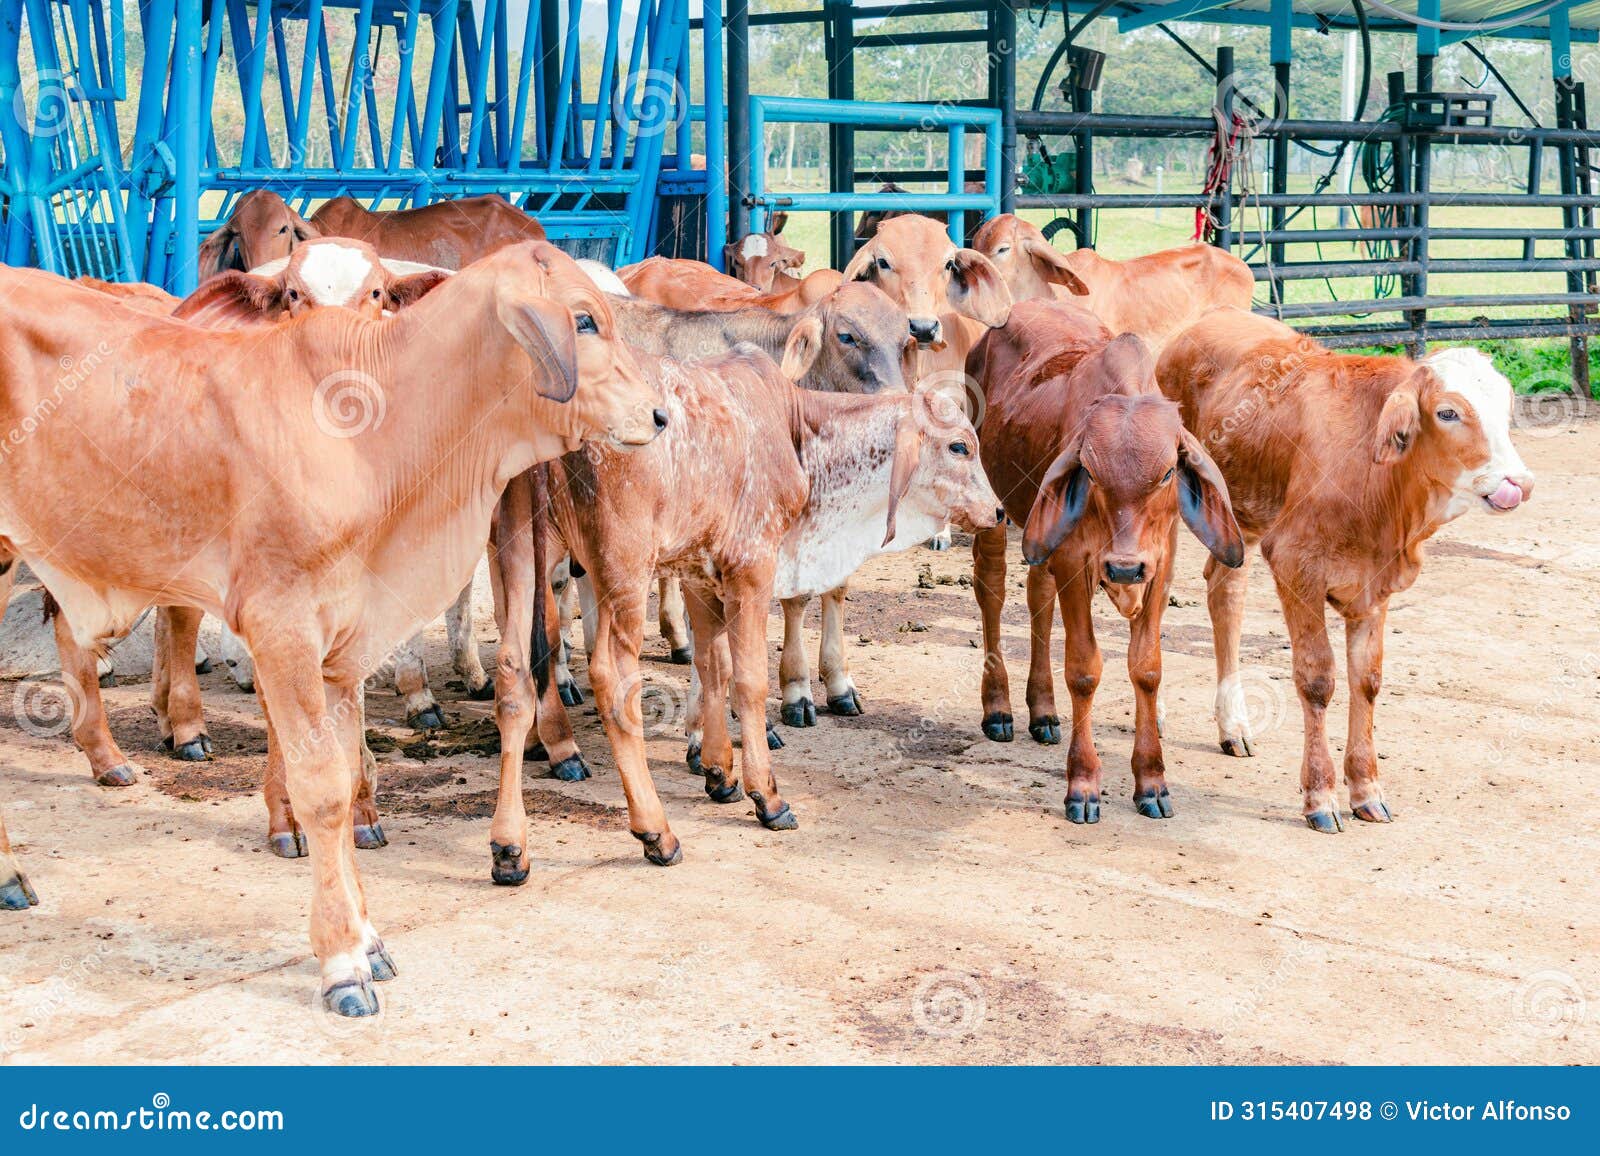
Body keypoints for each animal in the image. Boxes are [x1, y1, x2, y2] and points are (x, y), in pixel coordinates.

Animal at [0, 241, 665, 1019]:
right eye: (584, 320)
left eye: (379, 292)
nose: (660, 414)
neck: (376, 432)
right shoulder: (282, 626)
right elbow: (319, 787)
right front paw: (342, 961)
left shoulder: (344, 645)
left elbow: (348, 781)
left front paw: (371, 943)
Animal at [482, 349, 1000, 882]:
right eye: (960, 446)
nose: (999, 511)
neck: (796, 427)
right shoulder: (753, 567)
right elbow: (749, 681)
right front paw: (766, 795)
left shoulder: (698, 573)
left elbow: (714, 667)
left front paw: (718, 772)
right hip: (620, 569)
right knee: (612, 681)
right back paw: (656, 831)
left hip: (518, 554)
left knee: (514, 673)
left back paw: (510, 846)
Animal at [967, 299, 1244, 824]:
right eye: (1092, 473)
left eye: (1167, 473)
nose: (1123, 569)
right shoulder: (1076, 561)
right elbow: (1084, 669)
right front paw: (1083, 785)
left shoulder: (1160, 567)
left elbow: (1147, 668)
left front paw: (1152, 782)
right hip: (992, 504)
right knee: (991, 588)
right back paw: (999, 708)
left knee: (1037, 596)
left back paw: (1043, 712)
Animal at [1157, 309, 1534, 832]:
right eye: (1448, 413)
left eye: (1504, 408)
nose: (1519, 482)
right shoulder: (1295, 564)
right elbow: (1317, 680)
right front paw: (1320, 795)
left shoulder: (1376, 585)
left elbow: (1367, 681)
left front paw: (1366, 790)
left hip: (1238, 518)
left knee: (1225, 592)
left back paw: (1234, 725)